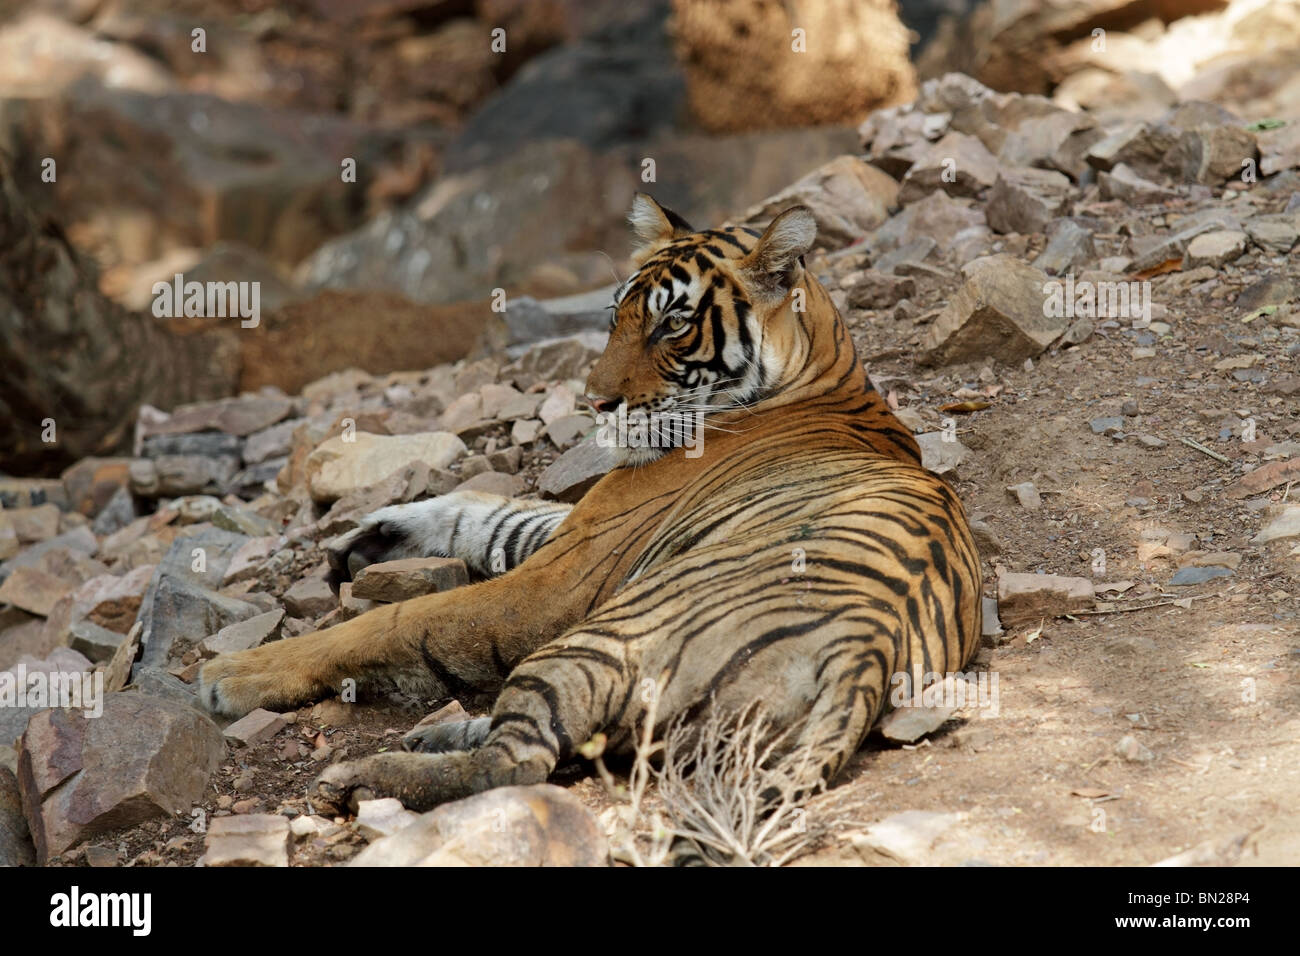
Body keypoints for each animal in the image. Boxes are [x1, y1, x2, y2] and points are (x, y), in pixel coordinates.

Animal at [198, 194, 983, 814]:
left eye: (673, 325)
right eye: (616, 317)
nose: (595, 400)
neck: (827, 373)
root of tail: (866, 655)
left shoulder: (558, 583)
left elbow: (392, 622)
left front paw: (229, 675)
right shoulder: (583, 531)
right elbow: (496, 513)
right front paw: (372, 537)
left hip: (590, 644)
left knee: (515, 765)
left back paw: (367, 777)